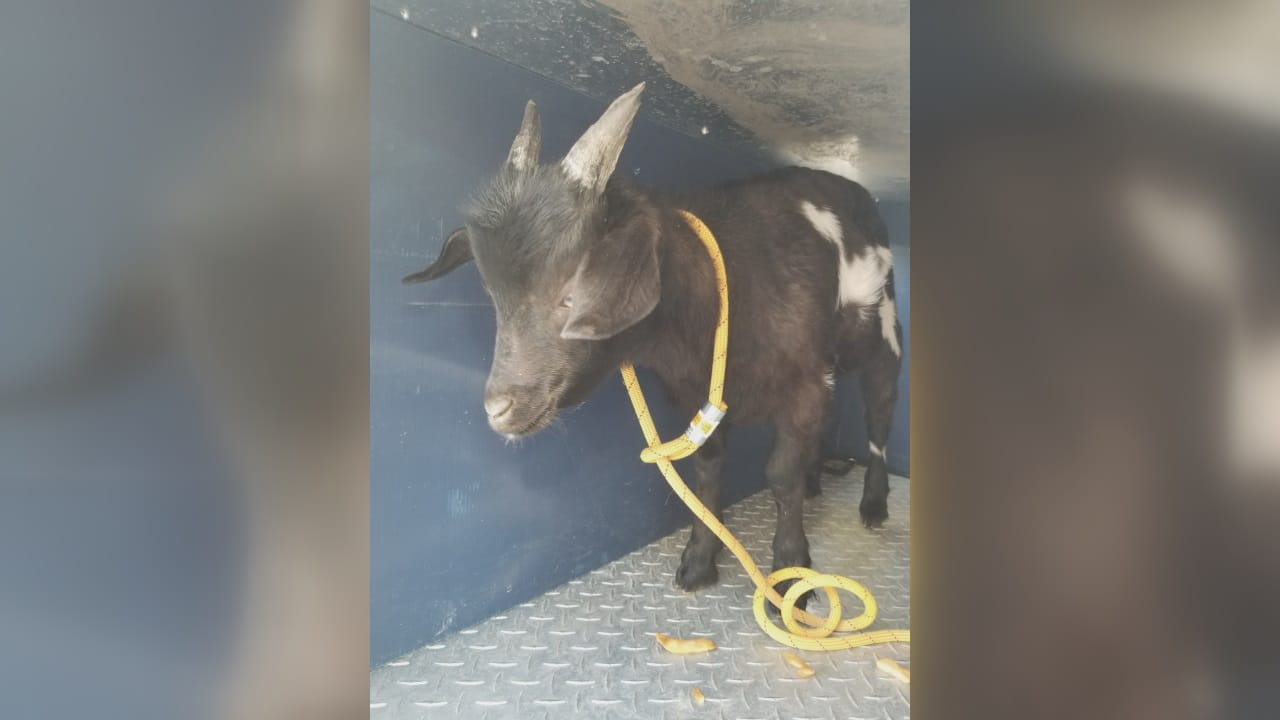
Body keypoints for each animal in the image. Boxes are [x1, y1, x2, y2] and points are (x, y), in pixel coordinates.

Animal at [404, 83, 902, 598]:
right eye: (493, 295)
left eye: (572, 294)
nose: (498, 408)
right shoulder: (700, 398)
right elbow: (707, 469)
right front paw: (699, 560)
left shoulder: (803, 385)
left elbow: (780, 476)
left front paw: (789, 576)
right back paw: (816, 481)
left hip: (884, 334)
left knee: (880, 417)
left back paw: (873, 504)